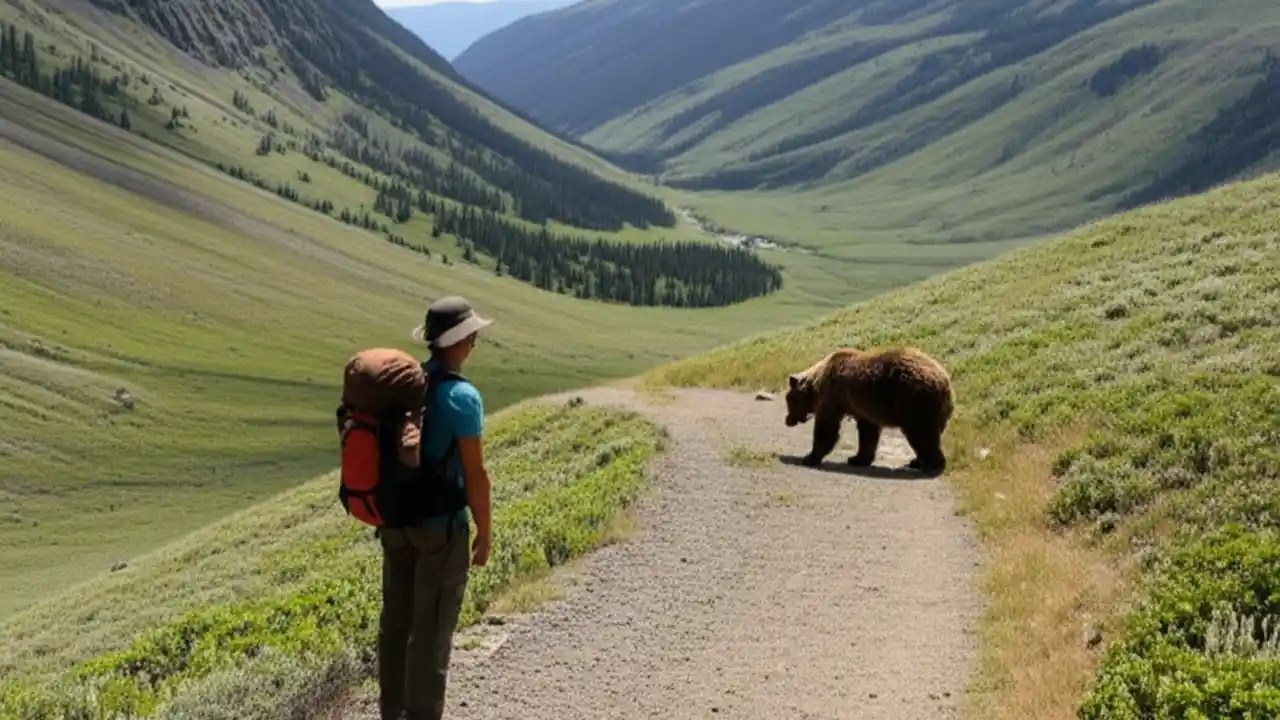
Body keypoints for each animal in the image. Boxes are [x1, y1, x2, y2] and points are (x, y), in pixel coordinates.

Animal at [784, 346, 955, 475]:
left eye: (789, 400)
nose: (787, 420)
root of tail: (945, 382)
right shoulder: (864, 408)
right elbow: (868, 433)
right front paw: (857, 459)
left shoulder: (833, 397)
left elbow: (826, 428)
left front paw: (809, 458)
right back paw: (916, 462)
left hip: (914, 401)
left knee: (922, 433)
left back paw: (931, 465)